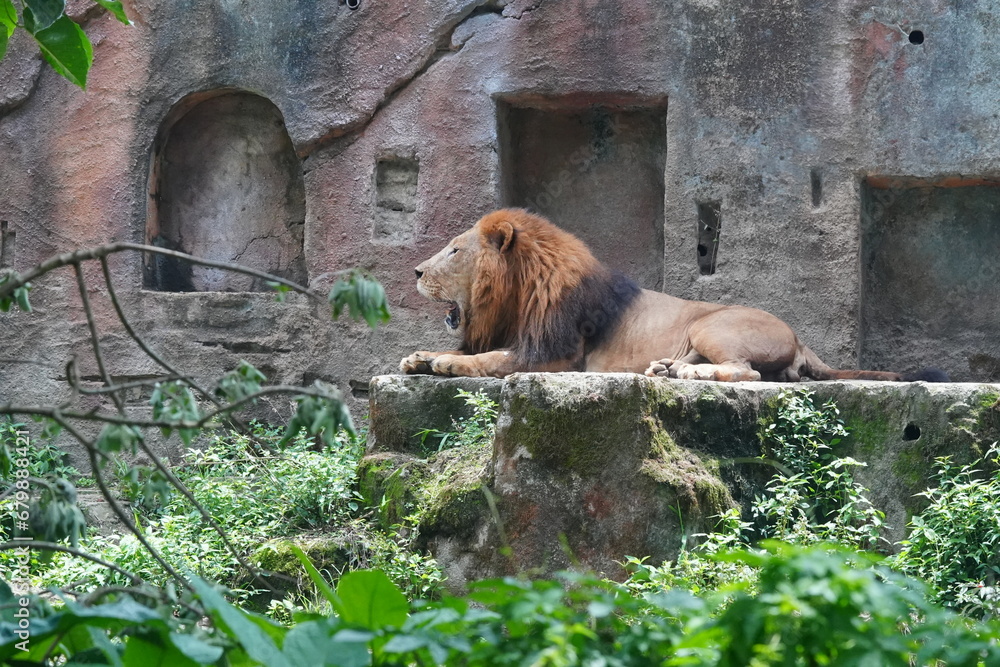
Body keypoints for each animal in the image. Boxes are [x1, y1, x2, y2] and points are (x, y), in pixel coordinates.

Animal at [400, 209, 947, 383]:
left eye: (454, 250)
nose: (416, 270)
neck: (515, 296)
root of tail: (801, 337)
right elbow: (472, 348)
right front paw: (418, 357)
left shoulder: (557, 355)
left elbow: (492, 359)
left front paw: (447, 364)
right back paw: (667, 368)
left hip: (709, 324)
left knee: (747, 374)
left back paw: (686, 373)